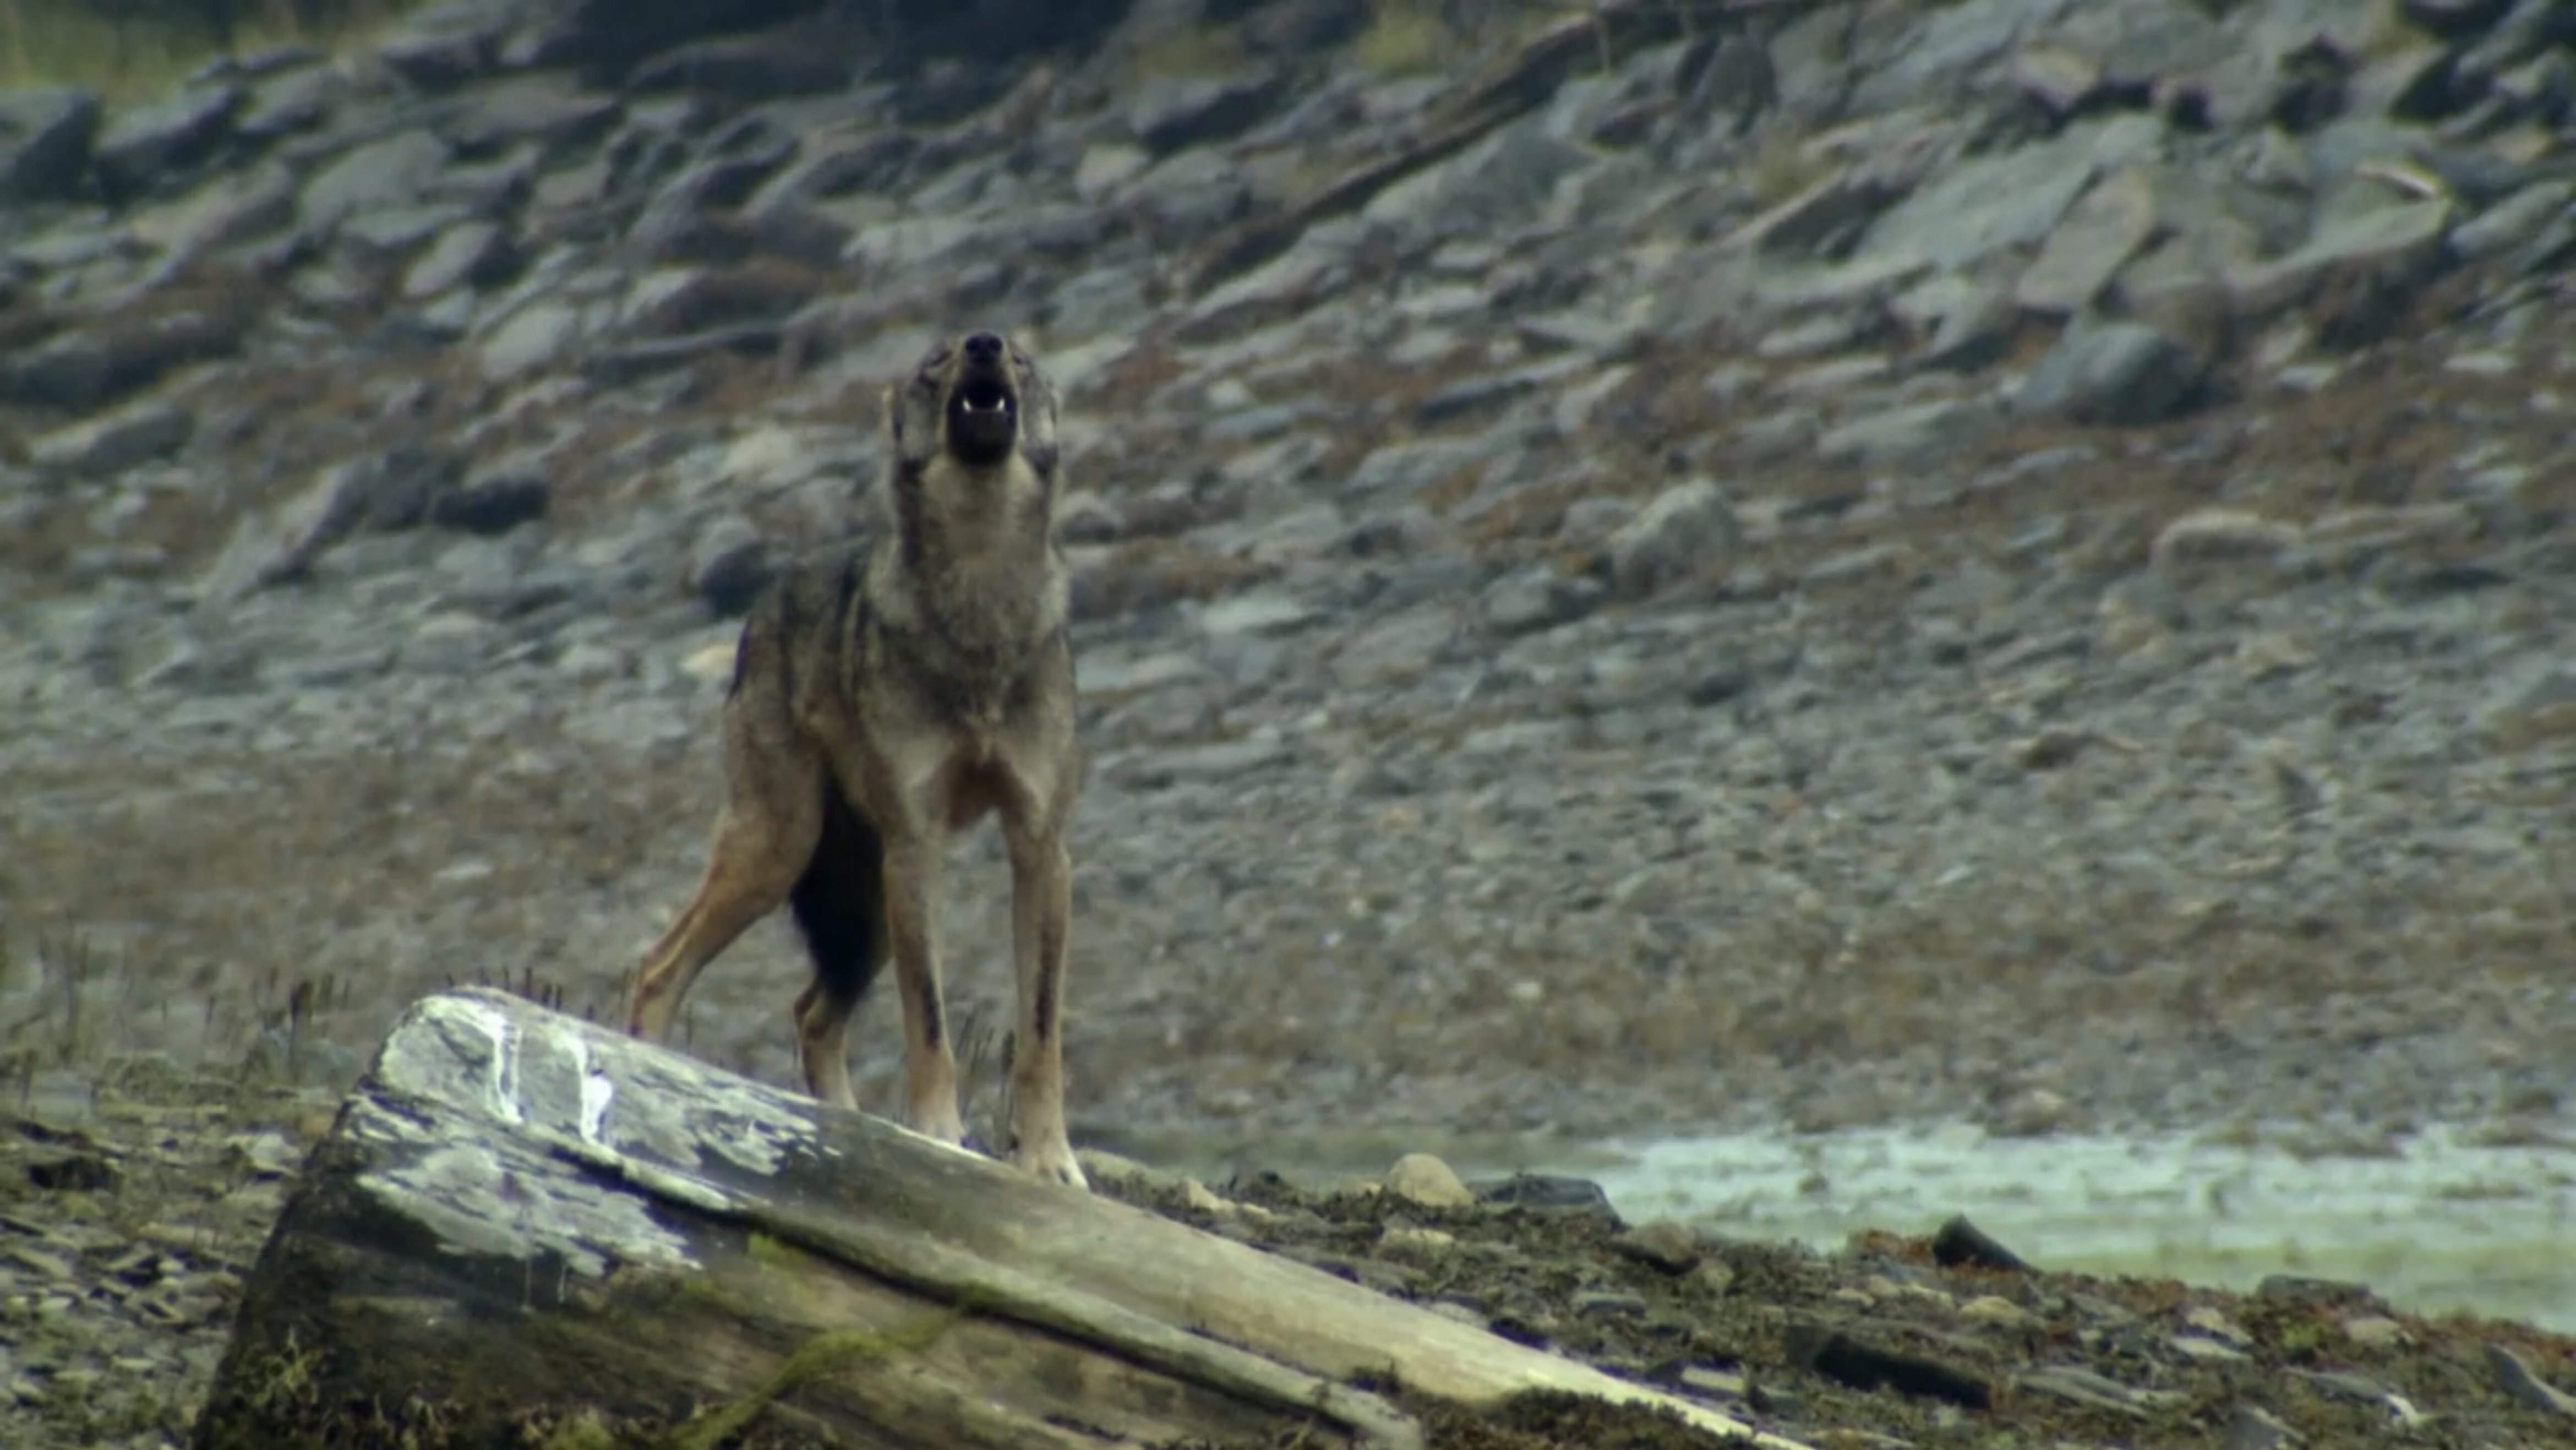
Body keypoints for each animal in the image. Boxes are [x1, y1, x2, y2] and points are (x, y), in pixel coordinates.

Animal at [625, 330, 1089, 1190]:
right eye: (936, 360)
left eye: (1018, 355)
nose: (983, 345)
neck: (982, 595)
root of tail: (763, 609)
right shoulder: (919, 844)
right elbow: (929, 1017)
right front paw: (938, 1131)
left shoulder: (1042, 849)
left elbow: (1041, 1029)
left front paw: (1049, 1160)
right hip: (780, 853)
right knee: (659, 967)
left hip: (862, 914)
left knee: (810, 1014)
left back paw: (843, 1126)